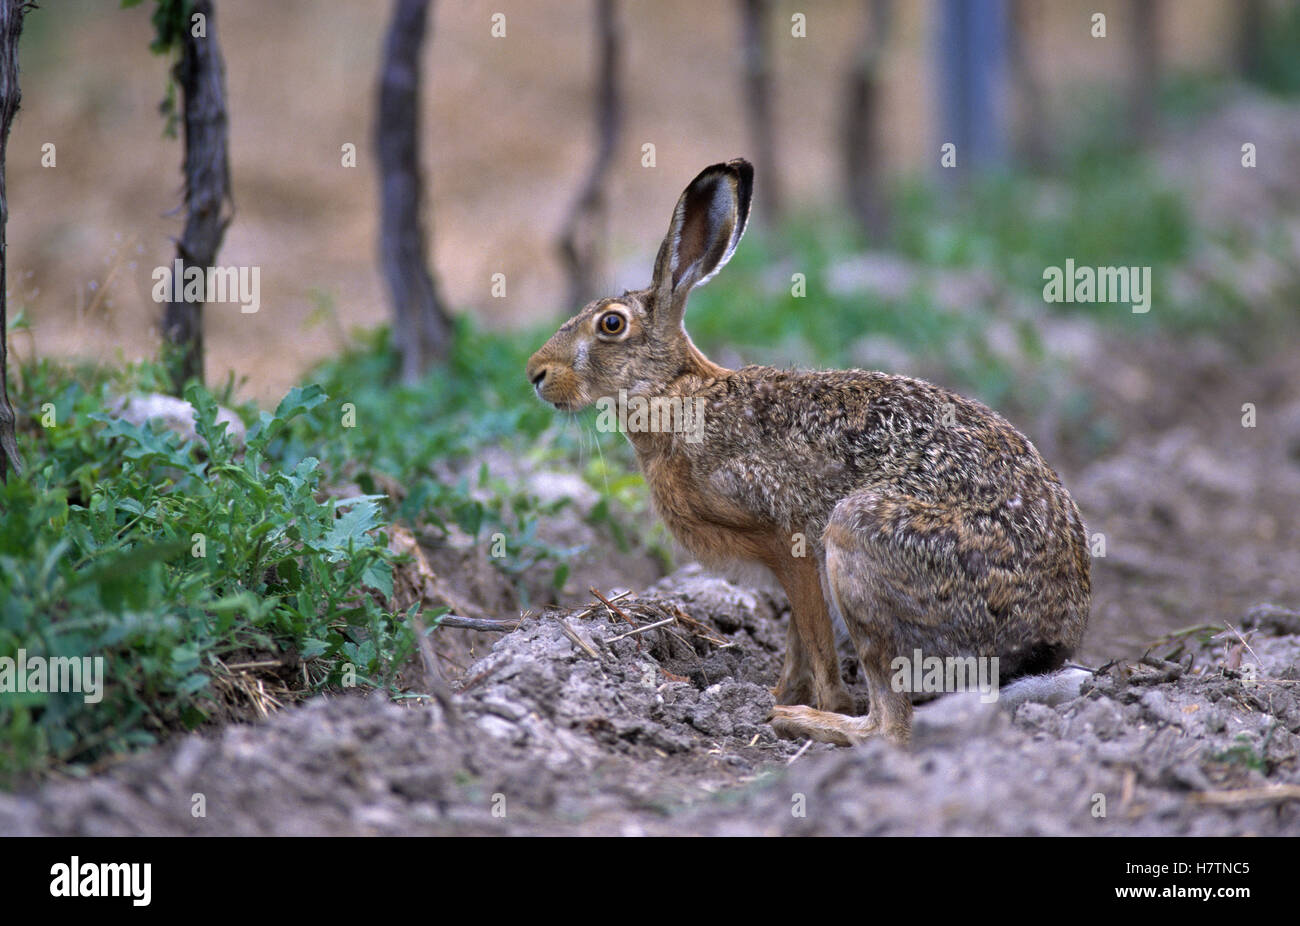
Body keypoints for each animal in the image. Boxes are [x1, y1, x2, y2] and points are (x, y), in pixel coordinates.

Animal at [526, 159, 1091, 745]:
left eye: (611, 324)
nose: (536, 374)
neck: (676, 392)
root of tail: (1050, 635)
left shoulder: (787, 538)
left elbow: (813, 639)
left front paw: (794, 701)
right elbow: (799, 635)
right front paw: (776, 692)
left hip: (859, 537)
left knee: (889, 725)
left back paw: (806, 721)